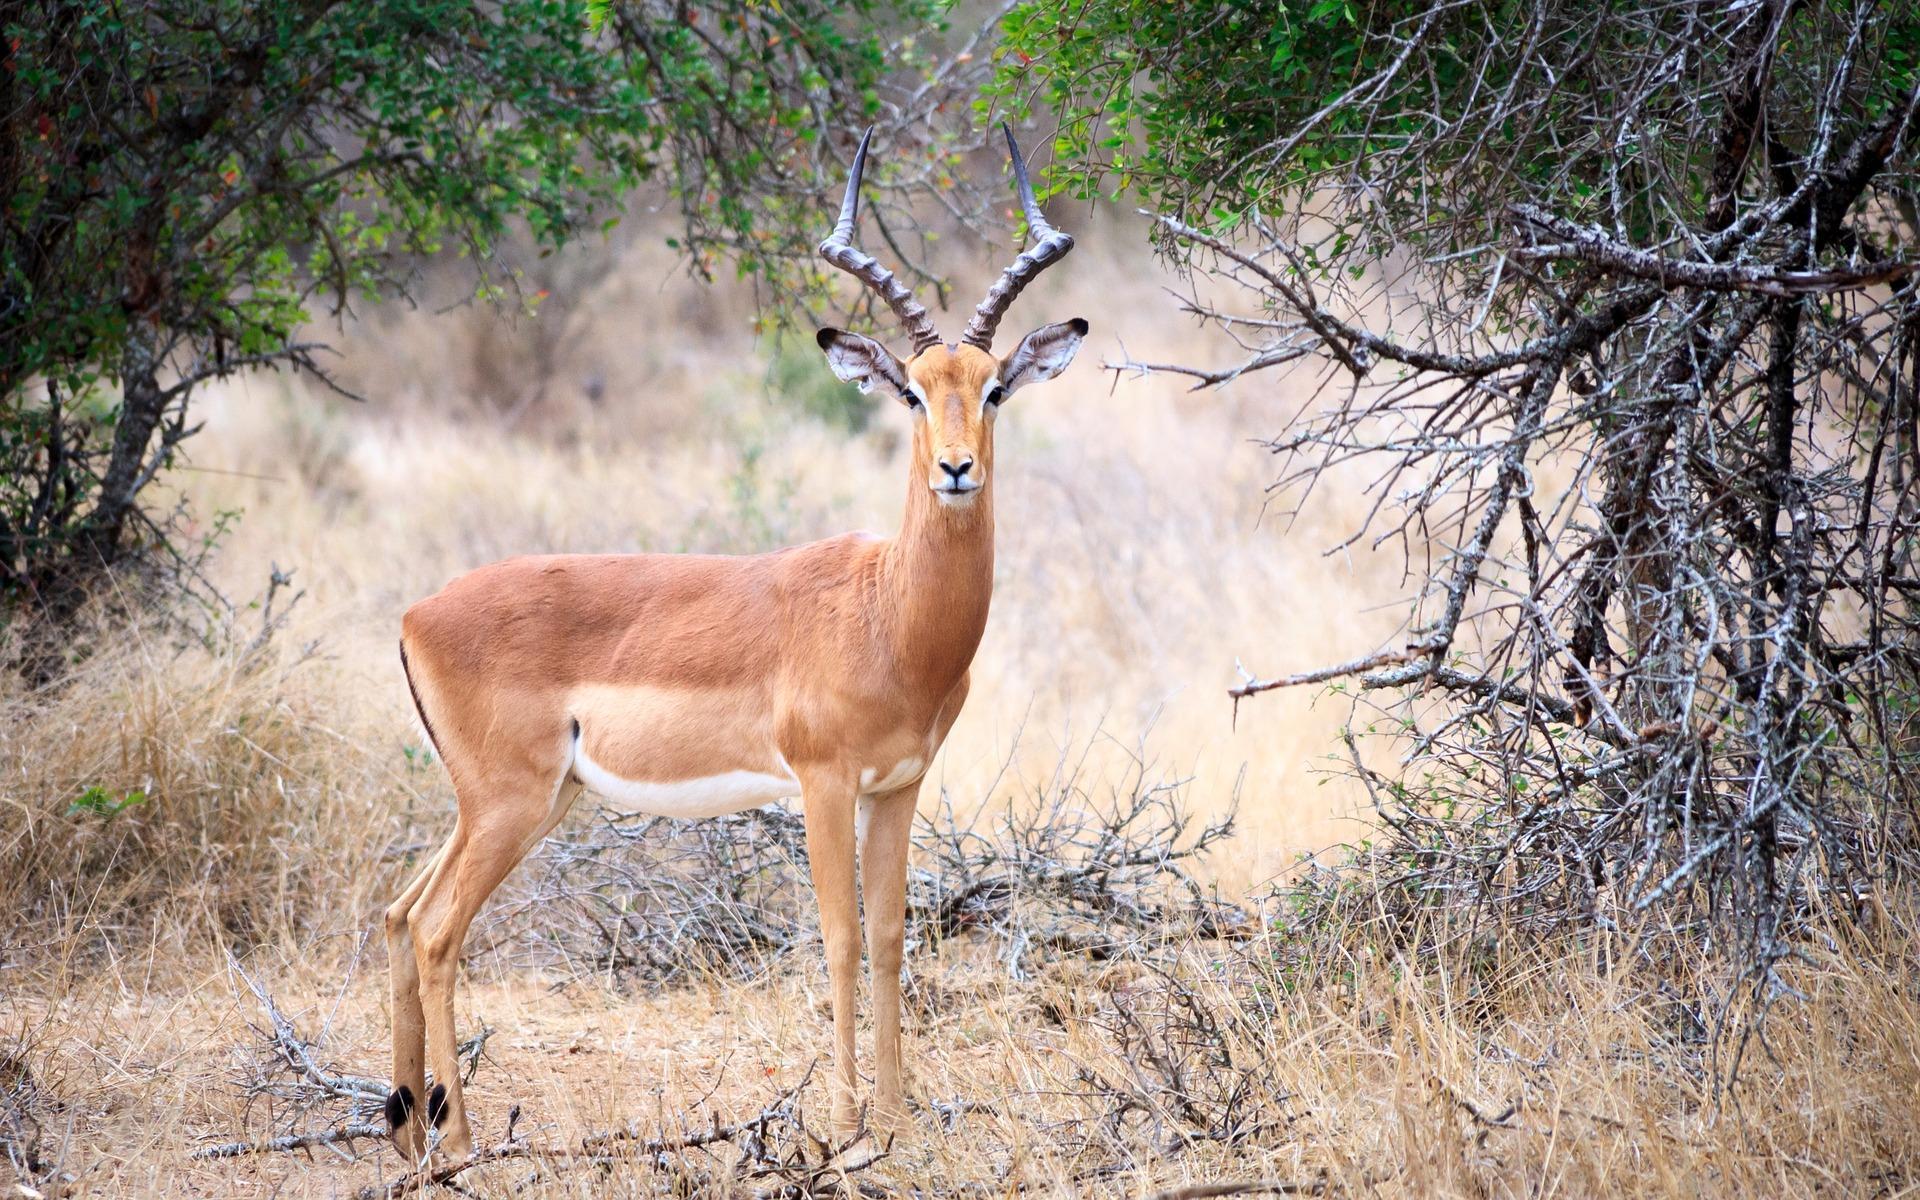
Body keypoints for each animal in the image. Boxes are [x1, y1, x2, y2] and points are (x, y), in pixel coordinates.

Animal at [382, 124, 1084, 1161]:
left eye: (994, 389)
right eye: (914, 395)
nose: (957, 470)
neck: (889, 614)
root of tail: (417, 613)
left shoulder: (897, 786)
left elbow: (890, 938)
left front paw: (899, 1119)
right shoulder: (824, 784)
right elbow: (838, 938)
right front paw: (843, 1125)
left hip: (526, 802)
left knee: (398, 913)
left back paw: (406, 1132)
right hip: (508, 805)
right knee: (435, 930)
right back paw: (463, 1142)